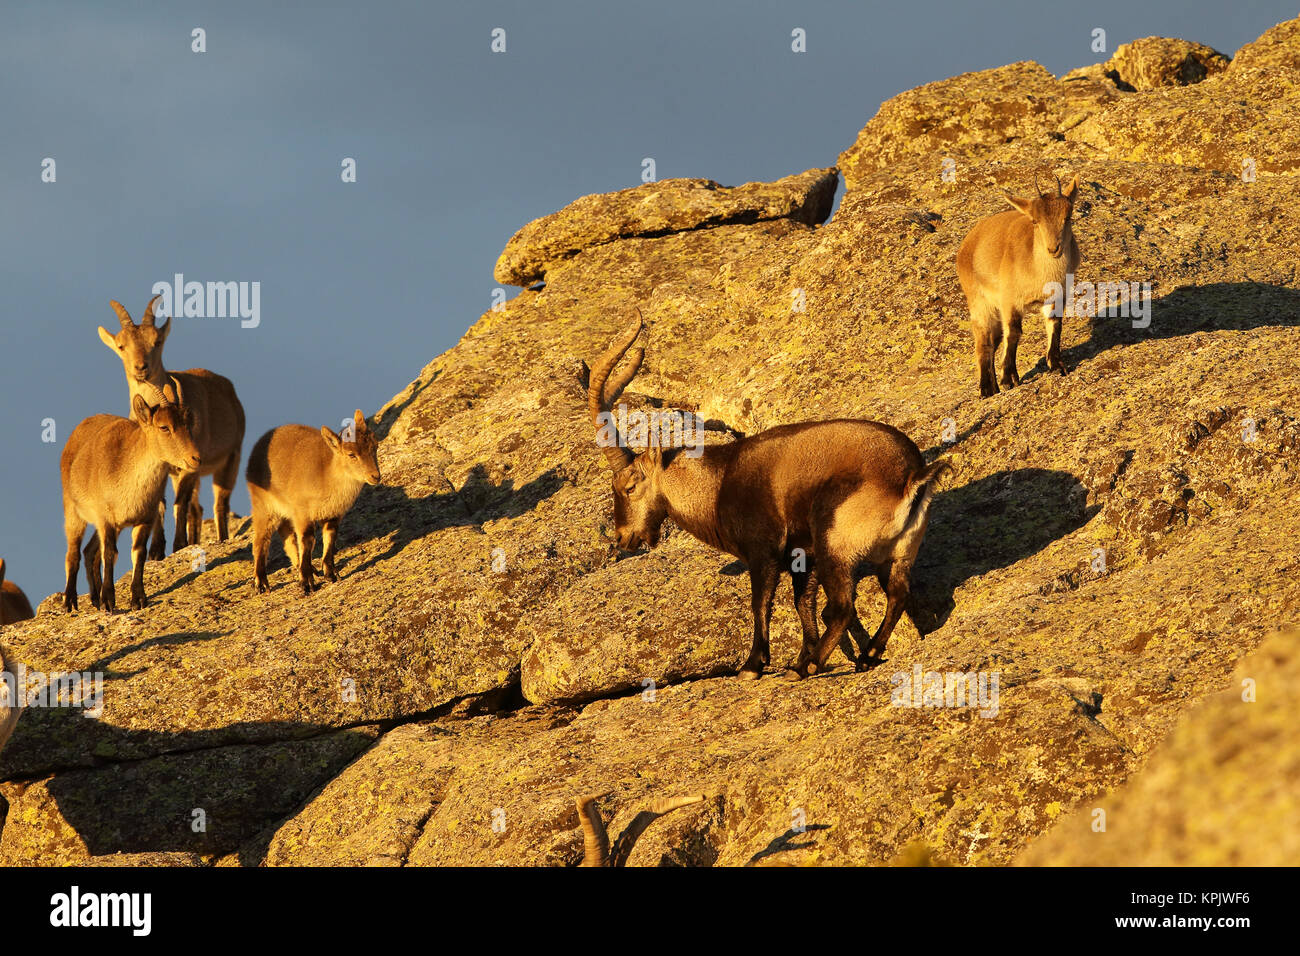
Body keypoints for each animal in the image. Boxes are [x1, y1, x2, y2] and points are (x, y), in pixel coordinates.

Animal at [61, 384, 202, 612]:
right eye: (164, 427)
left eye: (189, 423)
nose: (195, 458)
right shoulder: (106, 518)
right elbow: (110, 553)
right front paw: (108, 601)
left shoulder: (145, 517)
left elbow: (138, 552)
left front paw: (139, 598)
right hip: (73, 510)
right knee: (73, 553)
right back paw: (70, 601)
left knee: (89, 551)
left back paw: (94, 598)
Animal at [98, 296, 246, 556]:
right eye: (121, 346)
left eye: (156, 341)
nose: (141, 368)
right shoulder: (162, 467)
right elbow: (161, 504)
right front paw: (157, 551)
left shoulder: (189, 466)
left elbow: (179, 502)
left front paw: (177, 545)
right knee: (198, 508)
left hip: (230, 459)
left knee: (220, 503)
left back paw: (220, 538)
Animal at [246, 410, 382, 596]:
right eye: (351, 454)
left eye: (375, 446)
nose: (375, 476)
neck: (325, 477)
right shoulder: (303, 513)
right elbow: (307, 540)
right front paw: (306, 583)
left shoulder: (333, 515)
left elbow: (329, 540)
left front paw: (331, 574)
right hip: (264, 506)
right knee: (261, 540)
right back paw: (261, 583)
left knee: (287, 538)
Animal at [589, 319, 951, 679]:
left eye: (630, 486)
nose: (623, 537)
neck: (719, 482)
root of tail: (910, 477)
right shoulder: (804, 556)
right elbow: (803, 603)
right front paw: (802, 651)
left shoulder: (764, 551)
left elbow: (761, 602)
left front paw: (754, 664)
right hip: (897, 552)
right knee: (897, 595)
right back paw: (865, 656)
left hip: (835, 543)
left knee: (843, 608)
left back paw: (809, 666)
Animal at [956, 173, 1080, 397]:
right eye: (1035, 221)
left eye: (1068, 217)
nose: (1054, 248)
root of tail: (967, 242)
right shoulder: (1009, 300)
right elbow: (1013, 332)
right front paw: (1009, 378)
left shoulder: (1058, 295)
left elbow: (1055, 324)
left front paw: (1058, 366)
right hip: (978, 299)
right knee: (983, 340)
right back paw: (986, 389)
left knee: (994, 338)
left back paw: (993, 387)